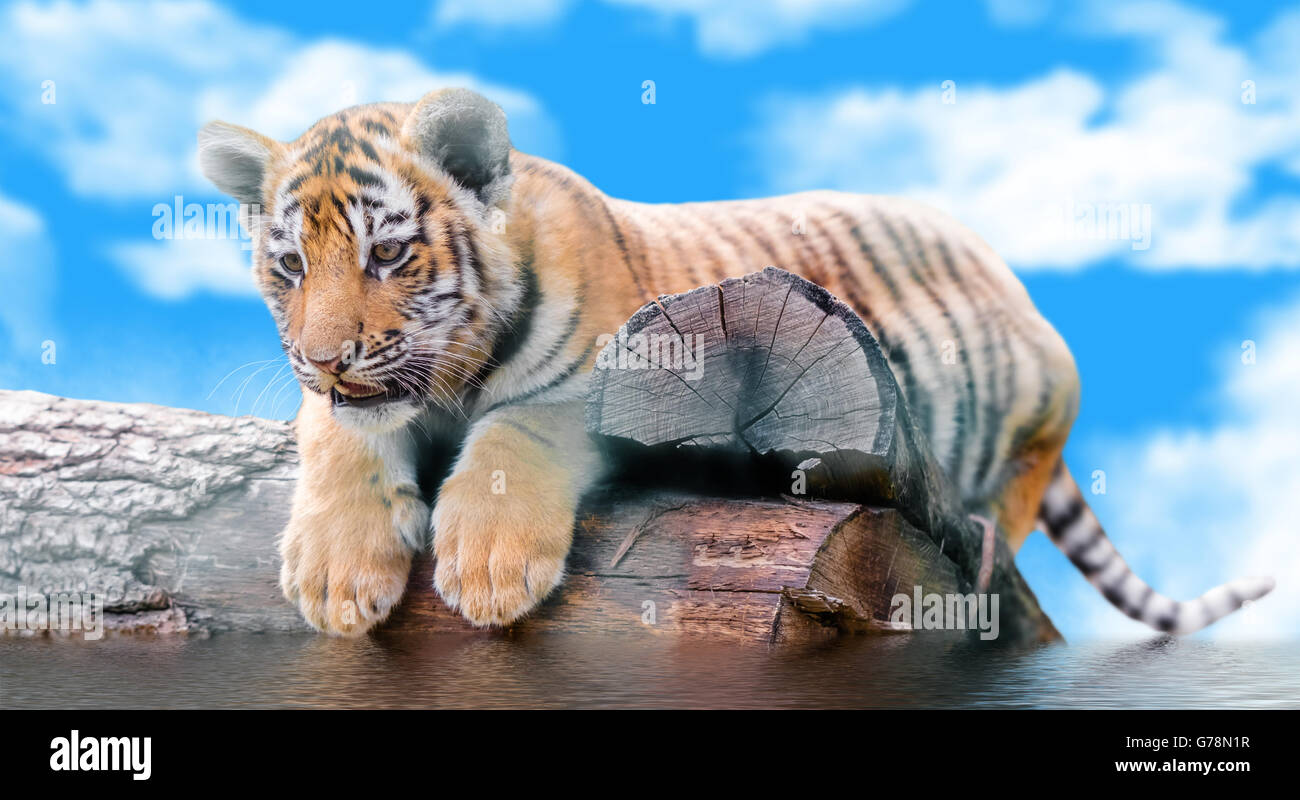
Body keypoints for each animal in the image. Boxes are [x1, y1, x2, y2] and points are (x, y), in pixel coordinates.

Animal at [198, 87, 1274, 636]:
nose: (325, 358)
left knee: (1031, 464)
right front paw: (337, 575)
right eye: (290, 266)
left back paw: (984, 532)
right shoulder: (343, 407)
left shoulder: (606, 378)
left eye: (387, 254)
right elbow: (339, 442)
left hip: (1024, 379)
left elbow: (516, 429)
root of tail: (1004, 272)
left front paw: (492, 566)